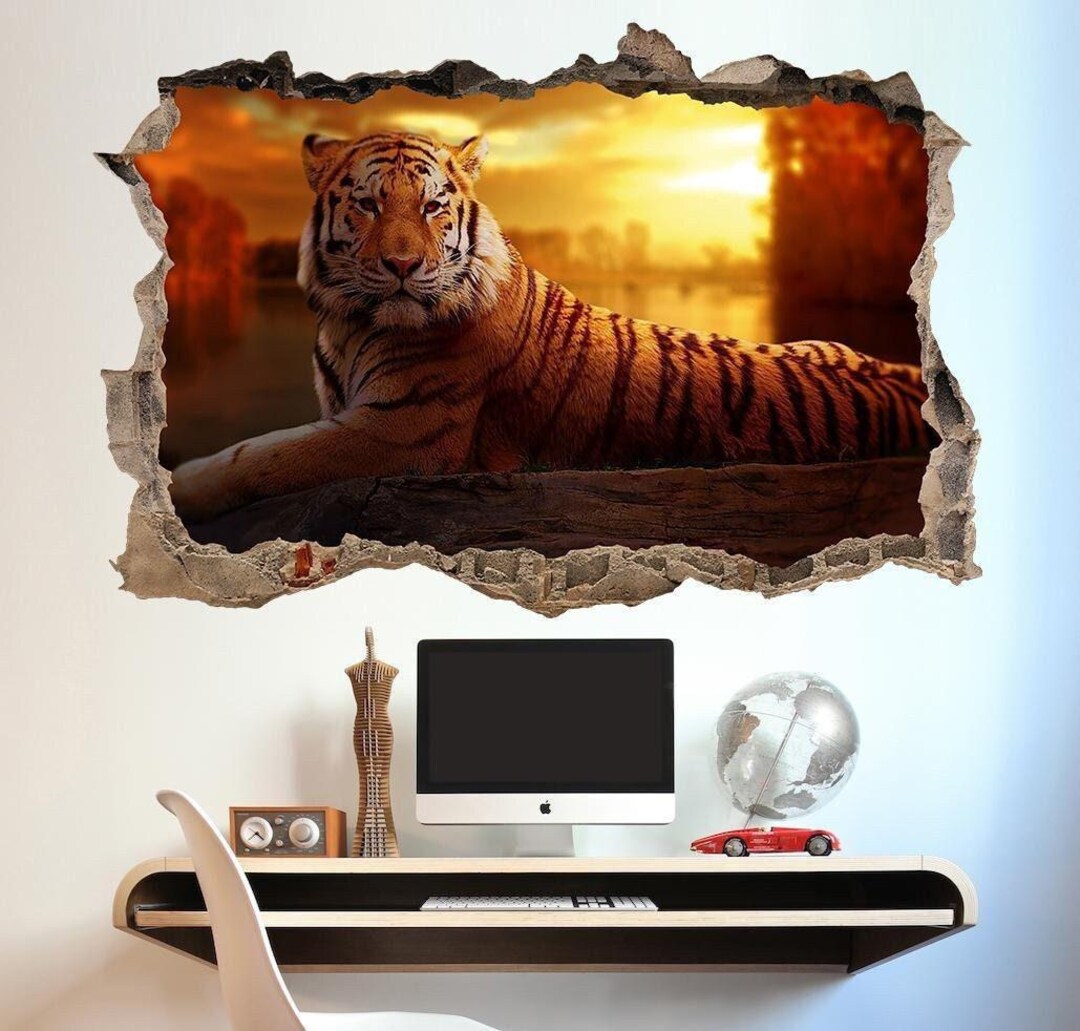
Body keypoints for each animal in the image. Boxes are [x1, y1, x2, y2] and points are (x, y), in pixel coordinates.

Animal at [168, 130, 933, 523]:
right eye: (368, 203)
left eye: (433, 206)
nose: (404, 265)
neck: (349, 323)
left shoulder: (399, 432)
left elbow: (261, 454)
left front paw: (178, 490)